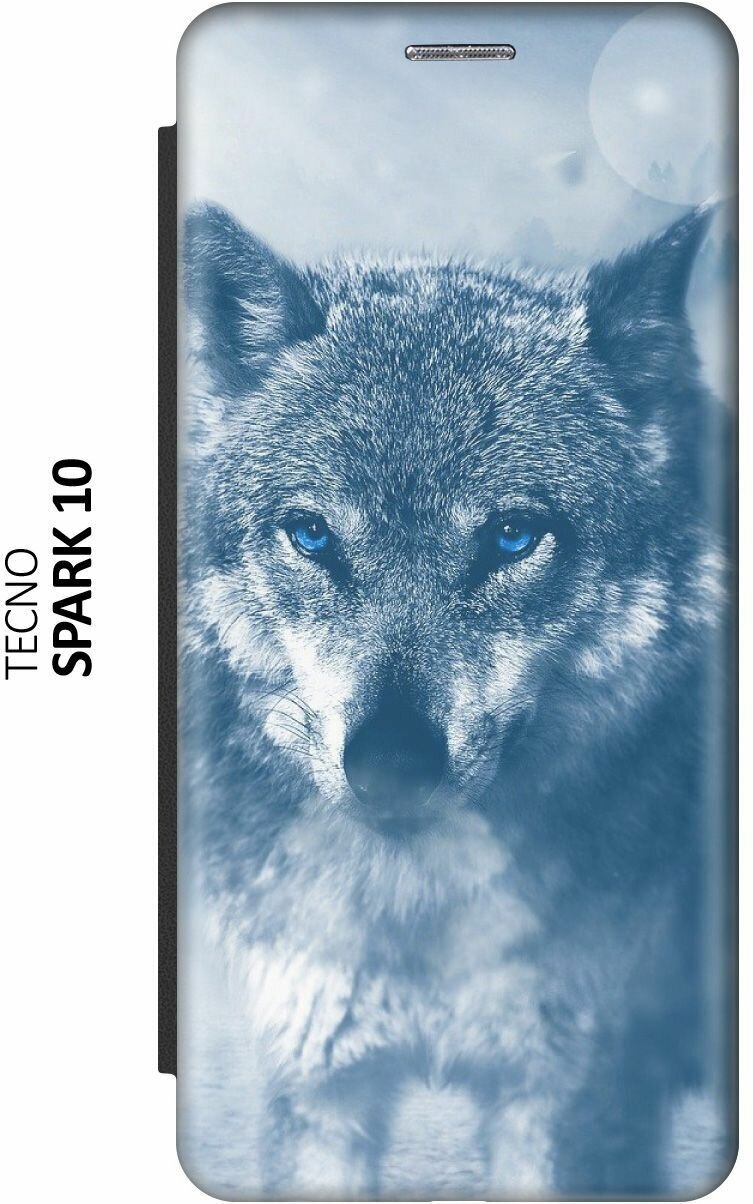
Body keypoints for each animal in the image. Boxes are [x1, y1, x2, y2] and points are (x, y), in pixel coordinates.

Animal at [178, 202, 734, 1199]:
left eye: (512, 536)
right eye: (311, 535)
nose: (392, 764)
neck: (416, 914)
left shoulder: (573, 1098)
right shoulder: (321, 1087)